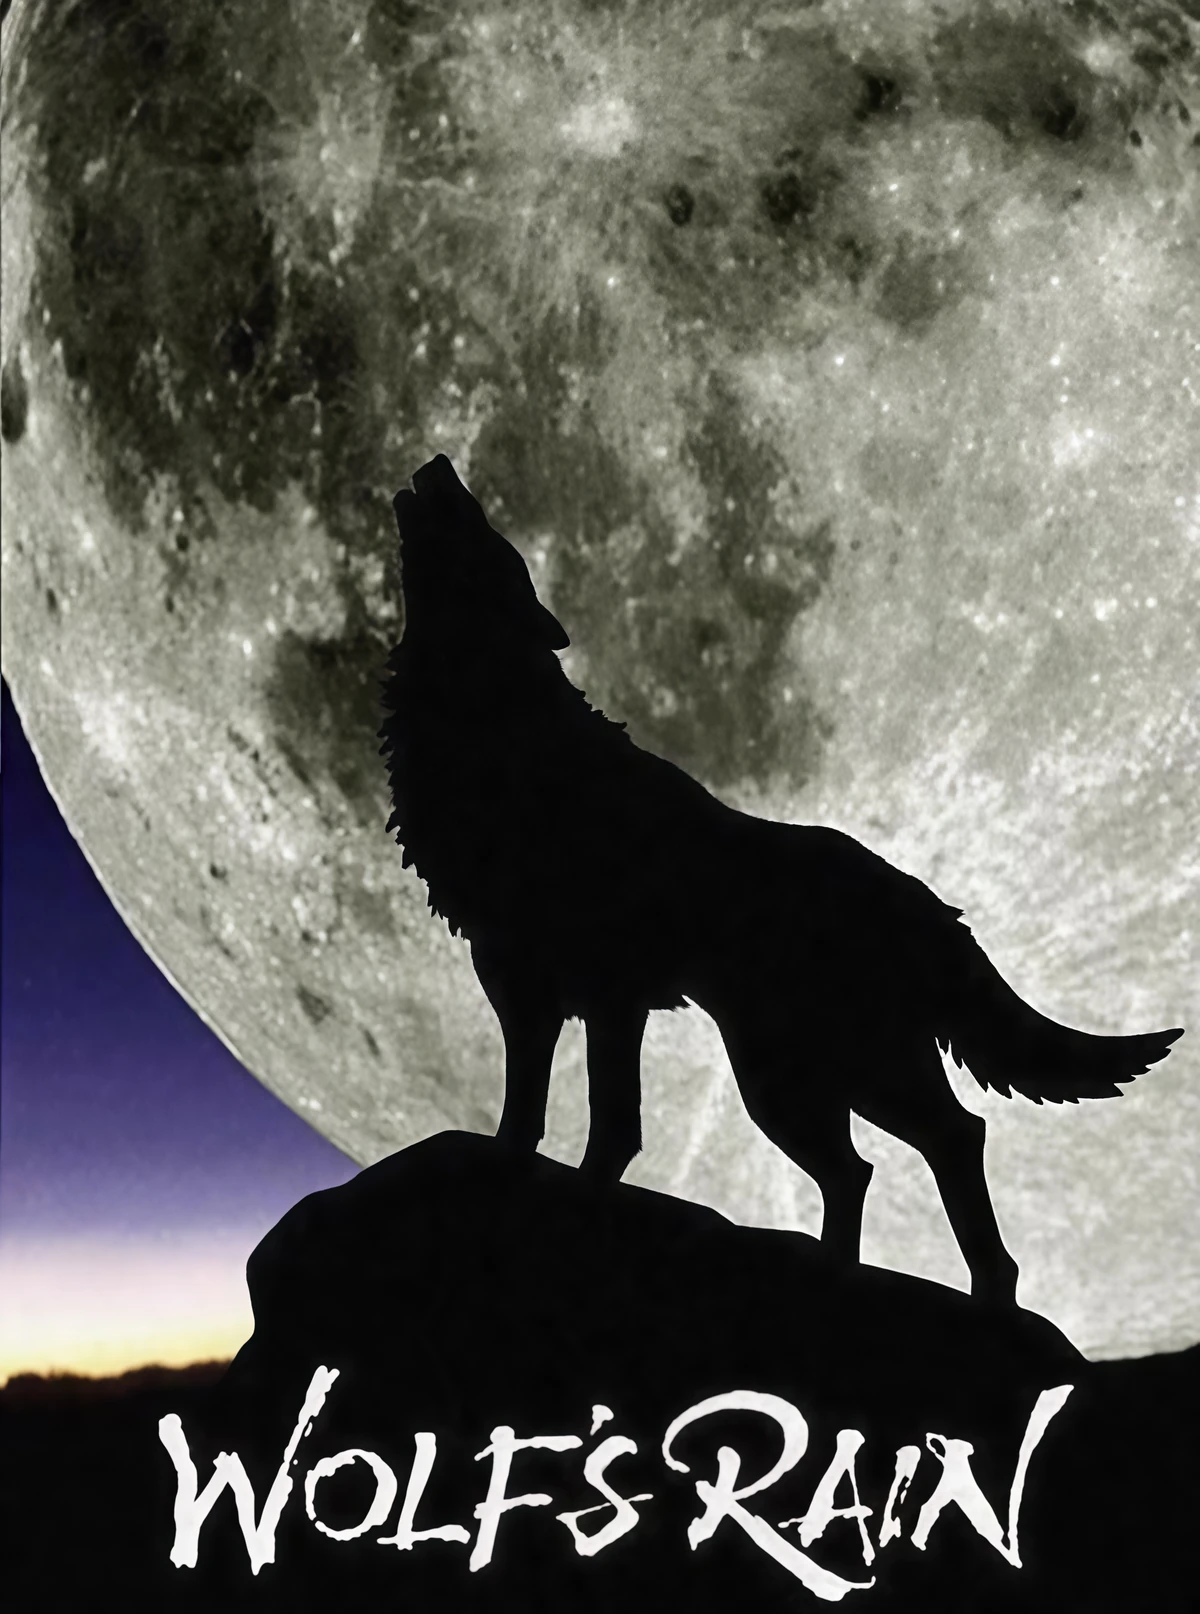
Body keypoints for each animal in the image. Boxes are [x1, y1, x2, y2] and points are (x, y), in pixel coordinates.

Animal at [378, 453, 1182, 1305]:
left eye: (491, 543)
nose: (439, 463)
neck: (503, 738)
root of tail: (926, 902)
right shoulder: (518, 984)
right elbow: (523, 1117)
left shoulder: (610, 995)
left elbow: (612, 1124)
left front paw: (581, 1211)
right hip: (792, 1078)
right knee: (861, 1169)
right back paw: (833, 1272)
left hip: (836, 1068)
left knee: (951, 1138)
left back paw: (982, 1293)